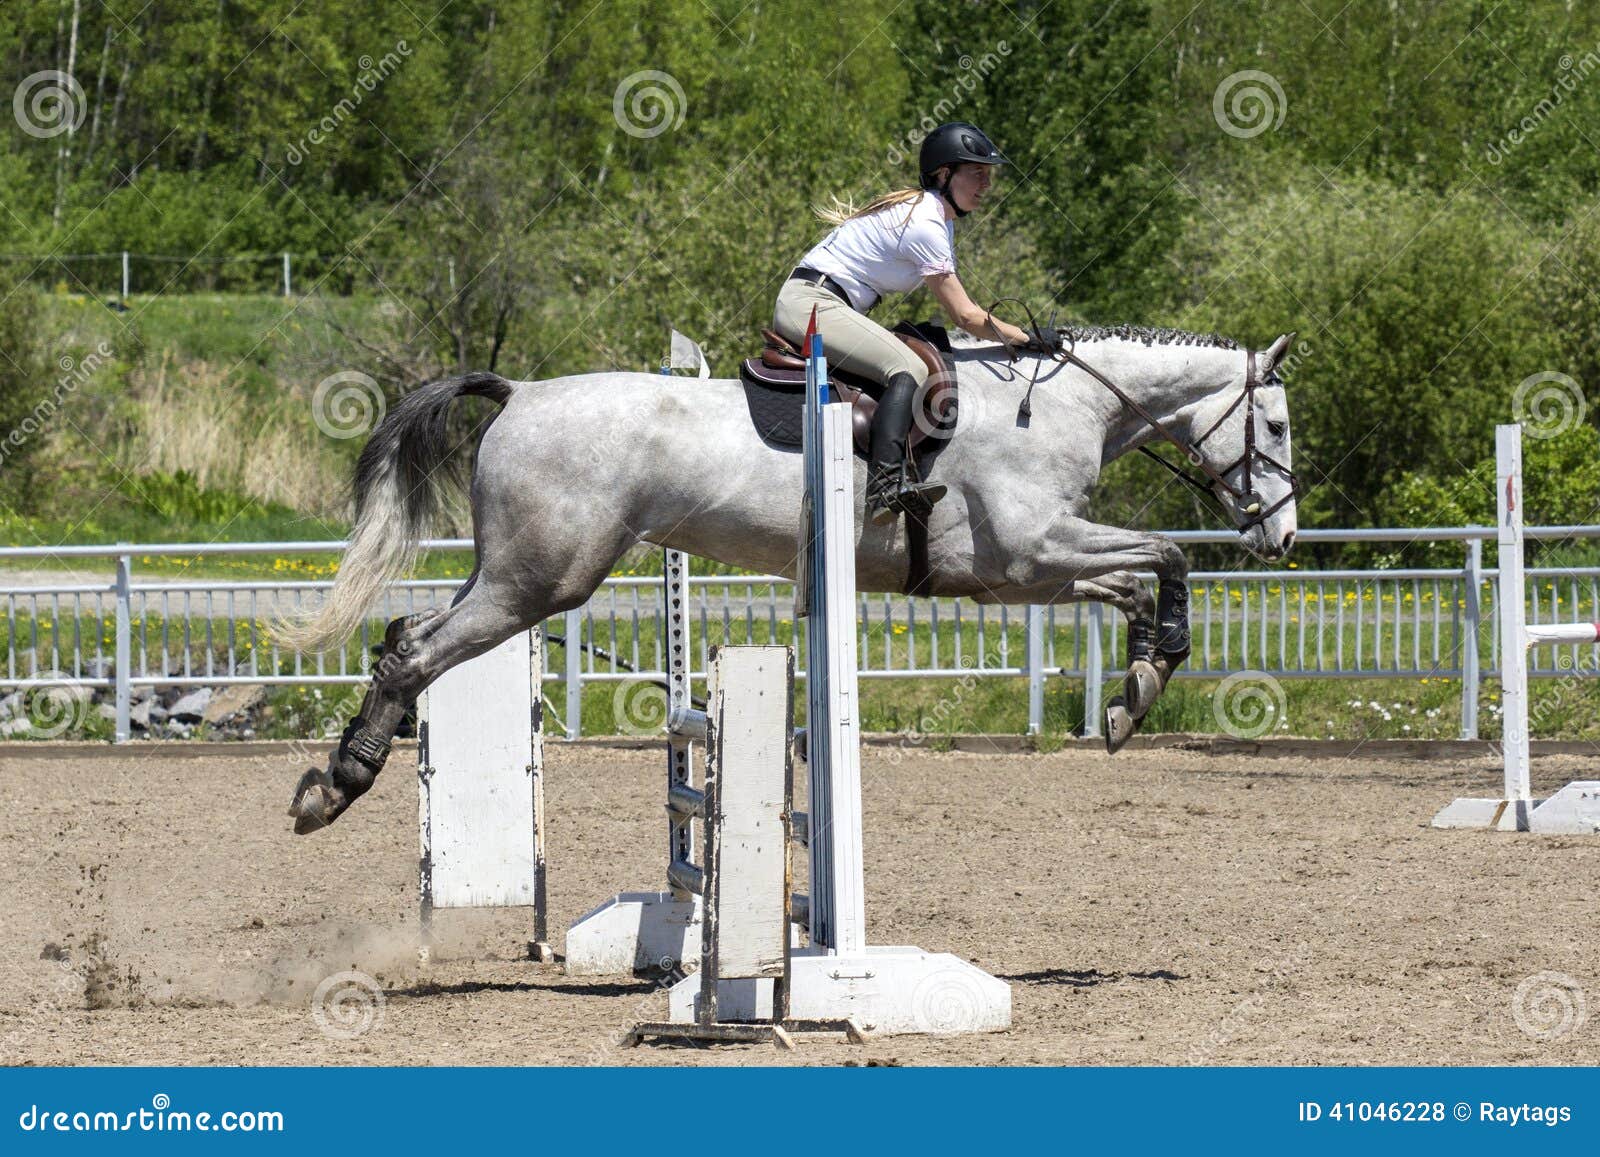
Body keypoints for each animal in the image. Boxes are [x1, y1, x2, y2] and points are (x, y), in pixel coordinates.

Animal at [281, 325, 1300, 834]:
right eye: (1280, 427)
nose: (1282, 533)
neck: (1058, 404)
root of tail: (520, 394)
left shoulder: (1027, 571)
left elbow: (1140, 579)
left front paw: (1134, 693)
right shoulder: (1030, 551)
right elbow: (1169, 555)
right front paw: (1152, 672)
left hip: (513, 573)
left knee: (405, 637)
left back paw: (336, 774)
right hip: (540, 580)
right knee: (416, 653)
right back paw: (341, 782)